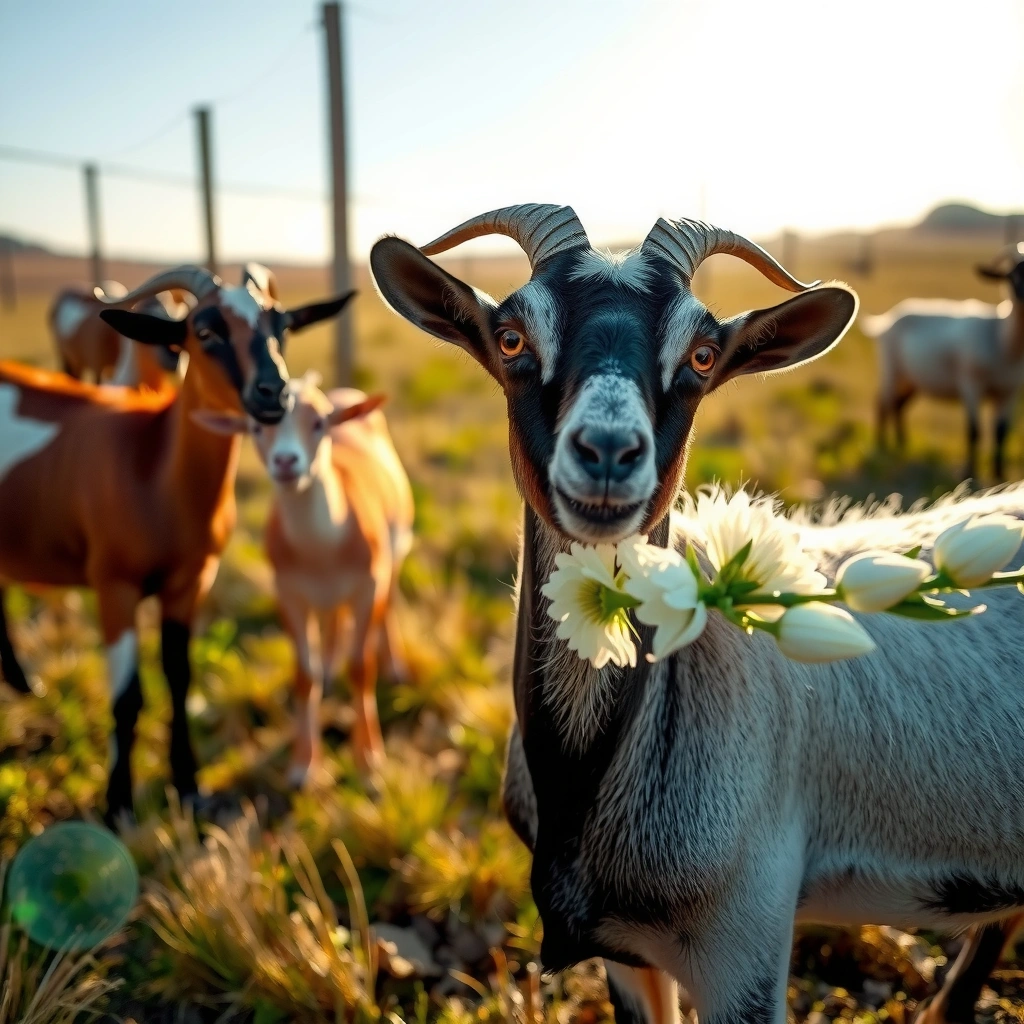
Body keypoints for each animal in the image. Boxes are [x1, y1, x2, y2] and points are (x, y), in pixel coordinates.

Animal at [201, 373, 413, 784]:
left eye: (318, 423)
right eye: (256, 427)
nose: (286, 461)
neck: (323, 550)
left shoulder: (368, 585)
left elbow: (360, 667)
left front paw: (369, 761)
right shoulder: (288, 592)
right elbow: (304, 675)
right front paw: (302, 766)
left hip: (397, 550)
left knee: (390, 604)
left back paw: (395, 667)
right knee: (332, 618)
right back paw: (330, 668)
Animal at [864, 242, 1024, 481]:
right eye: (1011, 275)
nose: (1023, 294)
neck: (1001, 338)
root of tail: (884, 321)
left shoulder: (1009, 391)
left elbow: (1001, 432)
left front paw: (1000, 475)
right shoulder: (970, 383)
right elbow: (973, 430)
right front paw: (969, 472)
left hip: (911, 379)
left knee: (898, 406)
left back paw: (902, 444)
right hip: (891, 369)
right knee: (883, 404)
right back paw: (882, 446)